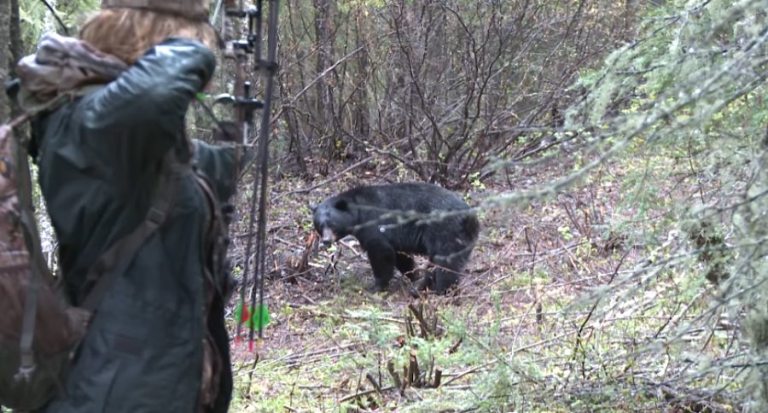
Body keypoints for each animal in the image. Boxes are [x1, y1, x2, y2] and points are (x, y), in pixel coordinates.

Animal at [312, 182, 480, 294]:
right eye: (319, 225)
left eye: (332, 224)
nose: (326, 241)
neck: (358, 213)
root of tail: (470, 216)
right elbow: (400, 255)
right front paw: (412, 275)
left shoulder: (374, 223)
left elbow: (380, 252)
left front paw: (376, 286)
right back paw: (422, 286)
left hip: (444, 230)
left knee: (446, 261)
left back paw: (442, 289)